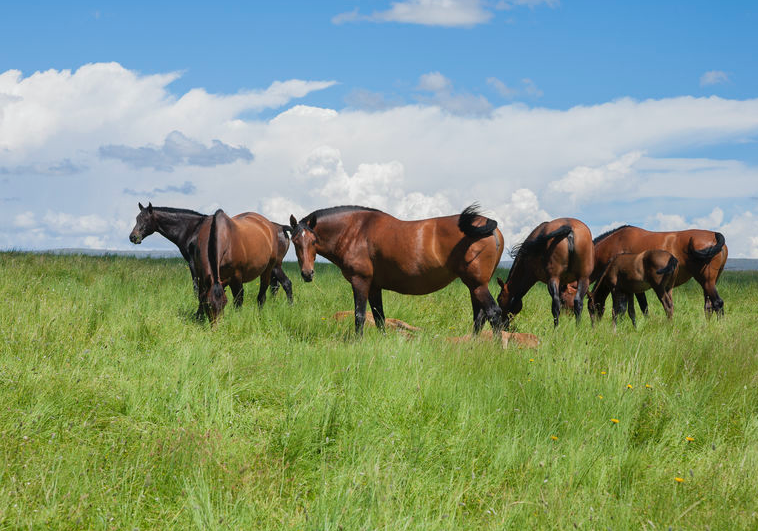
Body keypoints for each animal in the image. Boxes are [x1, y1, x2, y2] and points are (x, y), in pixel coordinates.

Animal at [129, 203, 293, 320]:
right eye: (136, 219)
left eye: (145, 220)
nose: (133, 237)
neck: (193, 228)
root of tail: (277, 227)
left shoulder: (193, 265)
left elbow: (198, 288)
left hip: (271, 267)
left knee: (273, 289)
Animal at [288, 204, 504, 336]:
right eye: (295, 241)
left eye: (313, 241)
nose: (307, 274)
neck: (356, 231)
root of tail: (491, 228)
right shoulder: (374, 287)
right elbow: (379, 318)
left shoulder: (361, 281)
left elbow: (360, 316)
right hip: (474, 286)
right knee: (479, 317)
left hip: (477, 285)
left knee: (493, 314)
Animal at [591, 226, 727, 317]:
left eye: (590, 307)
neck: (616, 243)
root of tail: (715, 235)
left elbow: (641, 308)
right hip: (708, 283)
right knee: (709, 306)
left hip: (706, 281)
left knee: (717, 303)